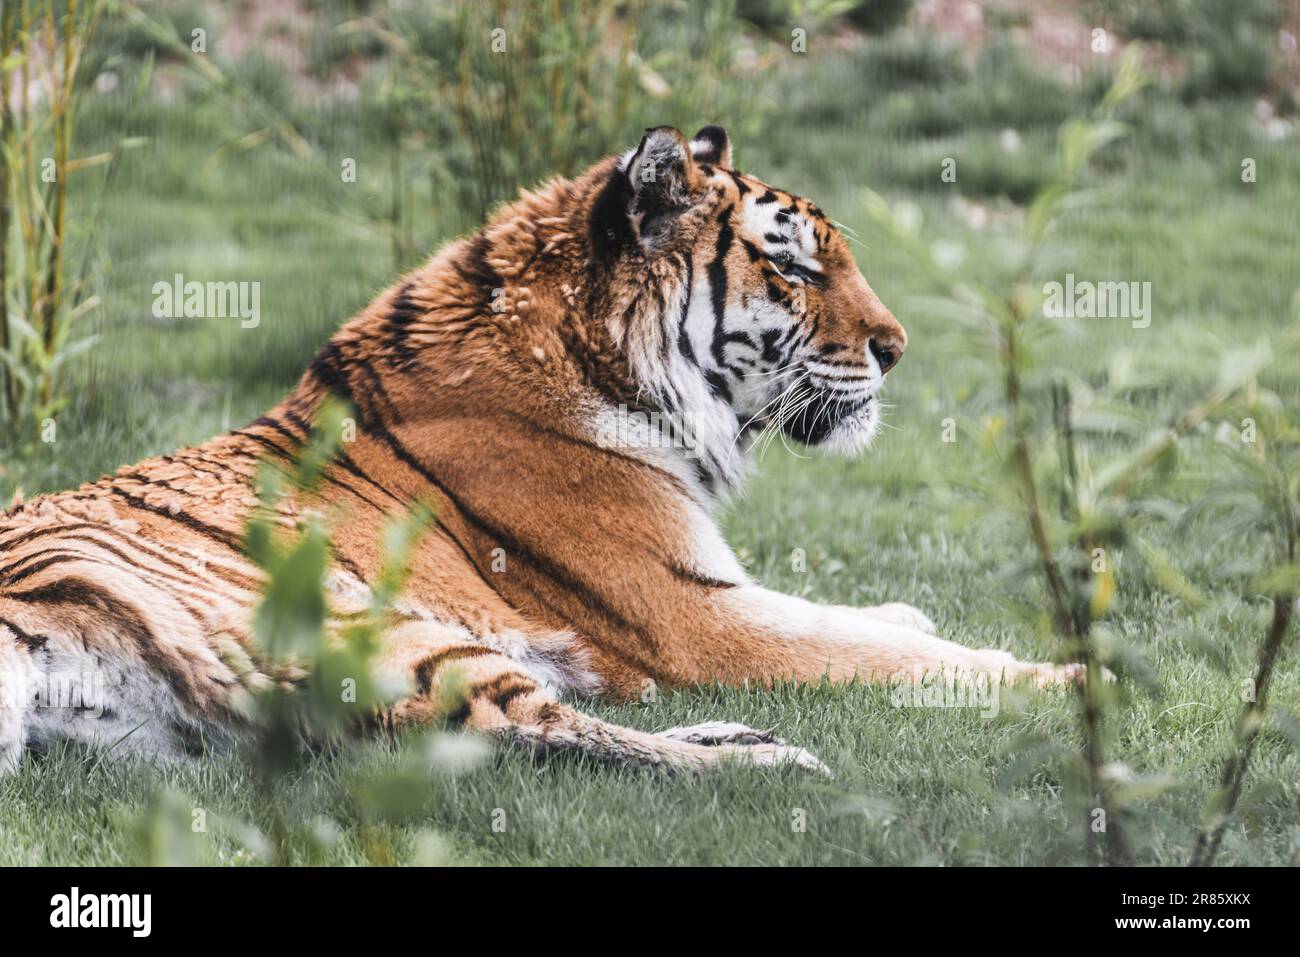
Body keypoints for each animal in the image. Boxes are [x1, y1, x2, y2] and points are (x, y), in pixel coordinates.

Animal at [0, 125, 1083, 777]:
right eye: (794, 264)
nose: (897, 348)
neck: (601, 362)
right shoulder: (692, 616)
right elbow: (881, 652)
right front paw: (1068, 678)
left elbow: (861, 618)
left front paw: (909, 610)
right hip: (370, 622)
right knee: (527, 732)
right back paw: (768, 760)